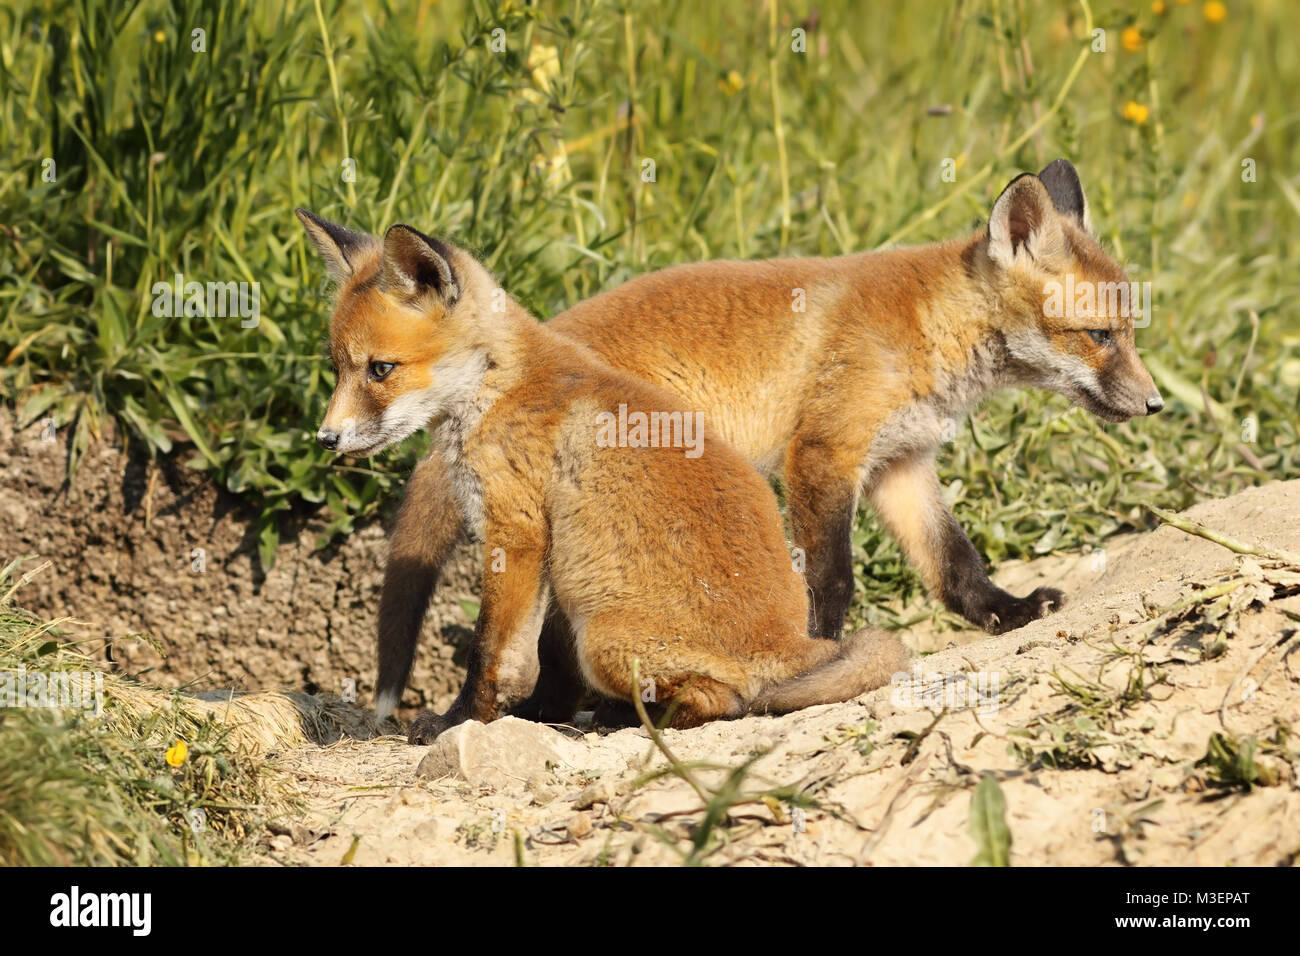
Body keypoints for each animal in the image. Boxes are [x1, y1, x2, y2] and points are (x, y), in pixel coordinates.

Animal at [297, 209, 911, 741]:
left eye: (381, 369)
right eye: (338, 368)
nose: (325, 438)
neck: (497, 389)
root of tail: (789, 640)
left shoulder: (516, 530)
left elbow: (488, 651)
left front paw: (460, 721)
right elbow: (524, 656)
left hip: (602, 636)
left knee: (726, 700)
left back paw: (639, 717)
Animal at [364, 159, 1164, 722]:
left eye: (1130, 332)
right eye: (1101, 336)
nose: (1156, 403)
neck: (928, 330)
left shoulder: (900, 464)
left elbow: (954, 566)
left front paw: (1010, 612)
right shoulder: (821, 456)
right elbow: (832, 583)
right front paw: (821, 663)